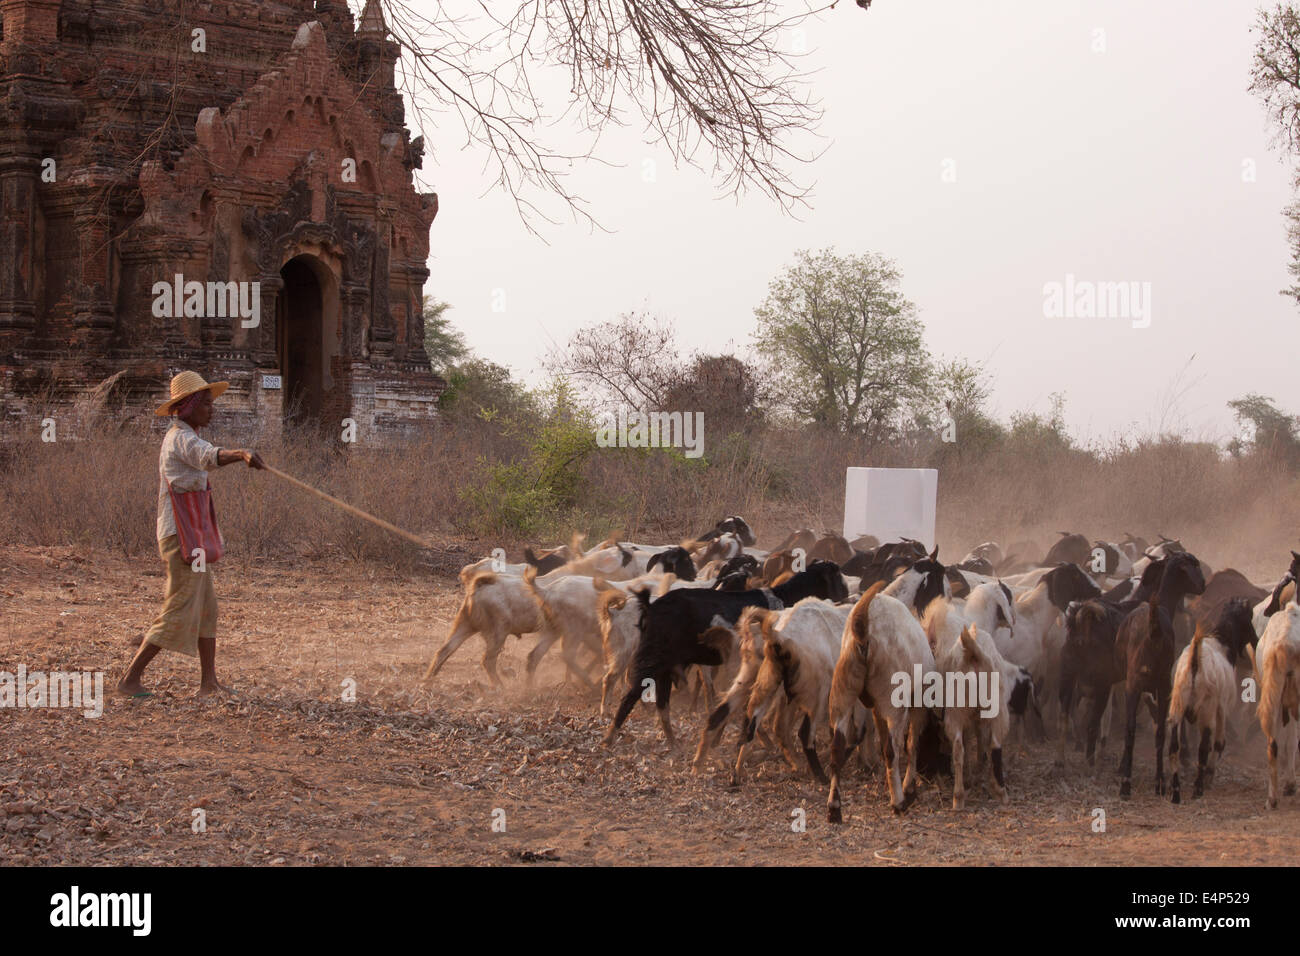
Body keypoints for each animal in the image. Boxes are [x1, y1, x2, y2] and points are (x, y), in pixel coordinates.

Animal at [1168, 598, 1257, 803]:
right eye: (1249, 616)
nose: (1256, 640)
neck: (1220, 642)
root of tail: (1194, 665)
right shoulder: (1222, 707)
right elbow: (1218, 743)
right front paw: (1209, 774)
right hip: (1206, 710)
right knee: (1203, 747)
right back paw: (1198, 788)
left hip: (1178, 706)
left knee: (1174, 747)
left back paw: (1176, 790)